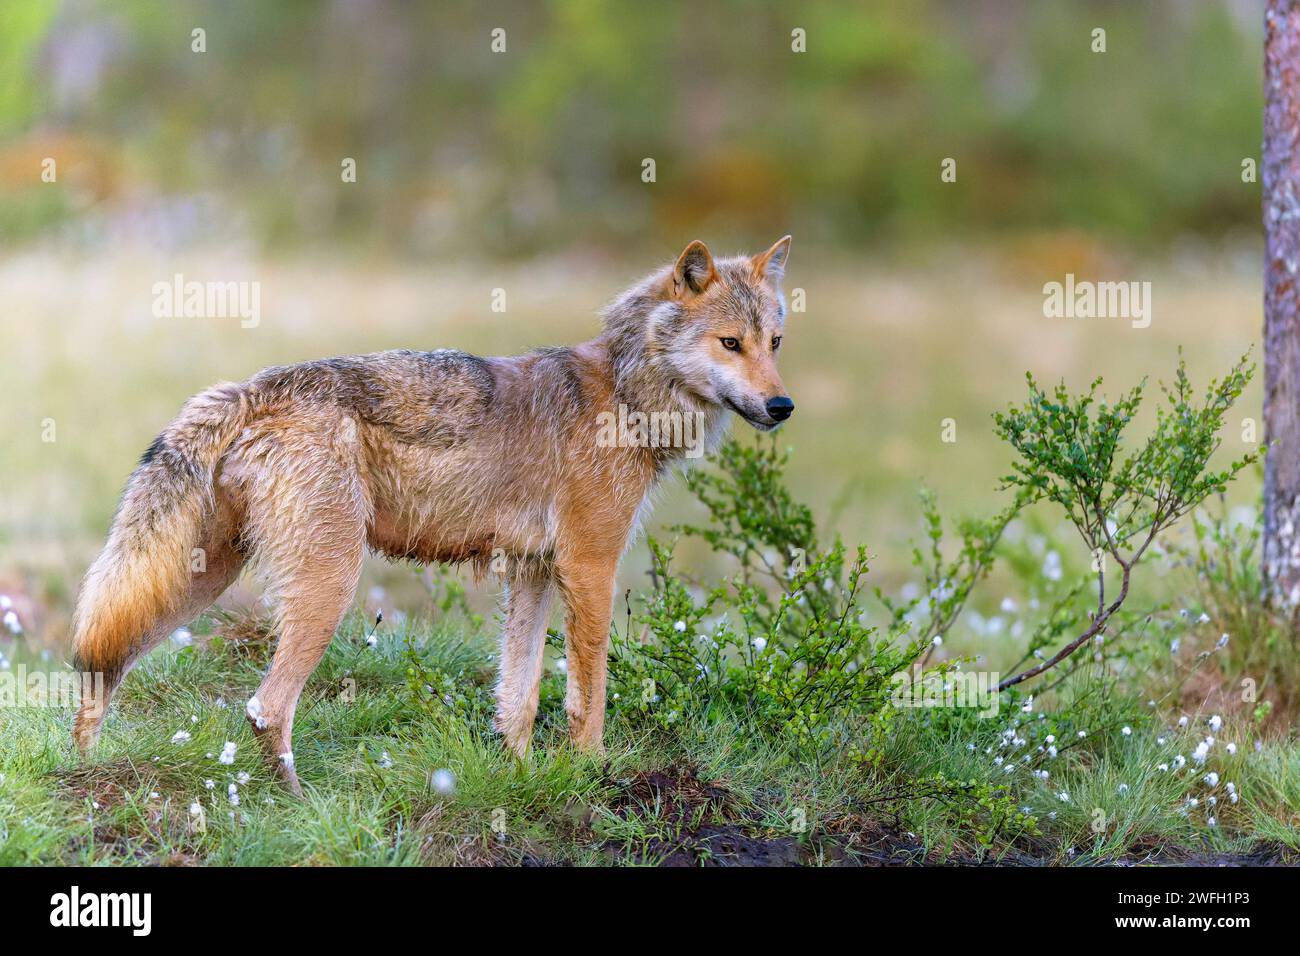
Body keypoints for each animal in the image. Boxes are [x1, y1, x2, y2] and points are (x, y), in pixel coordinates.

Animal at [70, 237, 795, 792]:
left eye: (775, 342)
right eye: (730, 343)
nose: (782, 406)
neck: (625, 396)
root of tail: (250, 387)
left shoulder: (533, 571)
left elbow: (519, 698)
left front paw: (519, 780)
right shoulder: (591, 566)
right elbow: (586, 696)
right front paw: (593, 774)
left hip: (196, 582)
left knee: (102, 665)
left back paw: (82, 772)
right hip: (327, 585)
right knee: (265, 709)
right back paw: (302, 805)